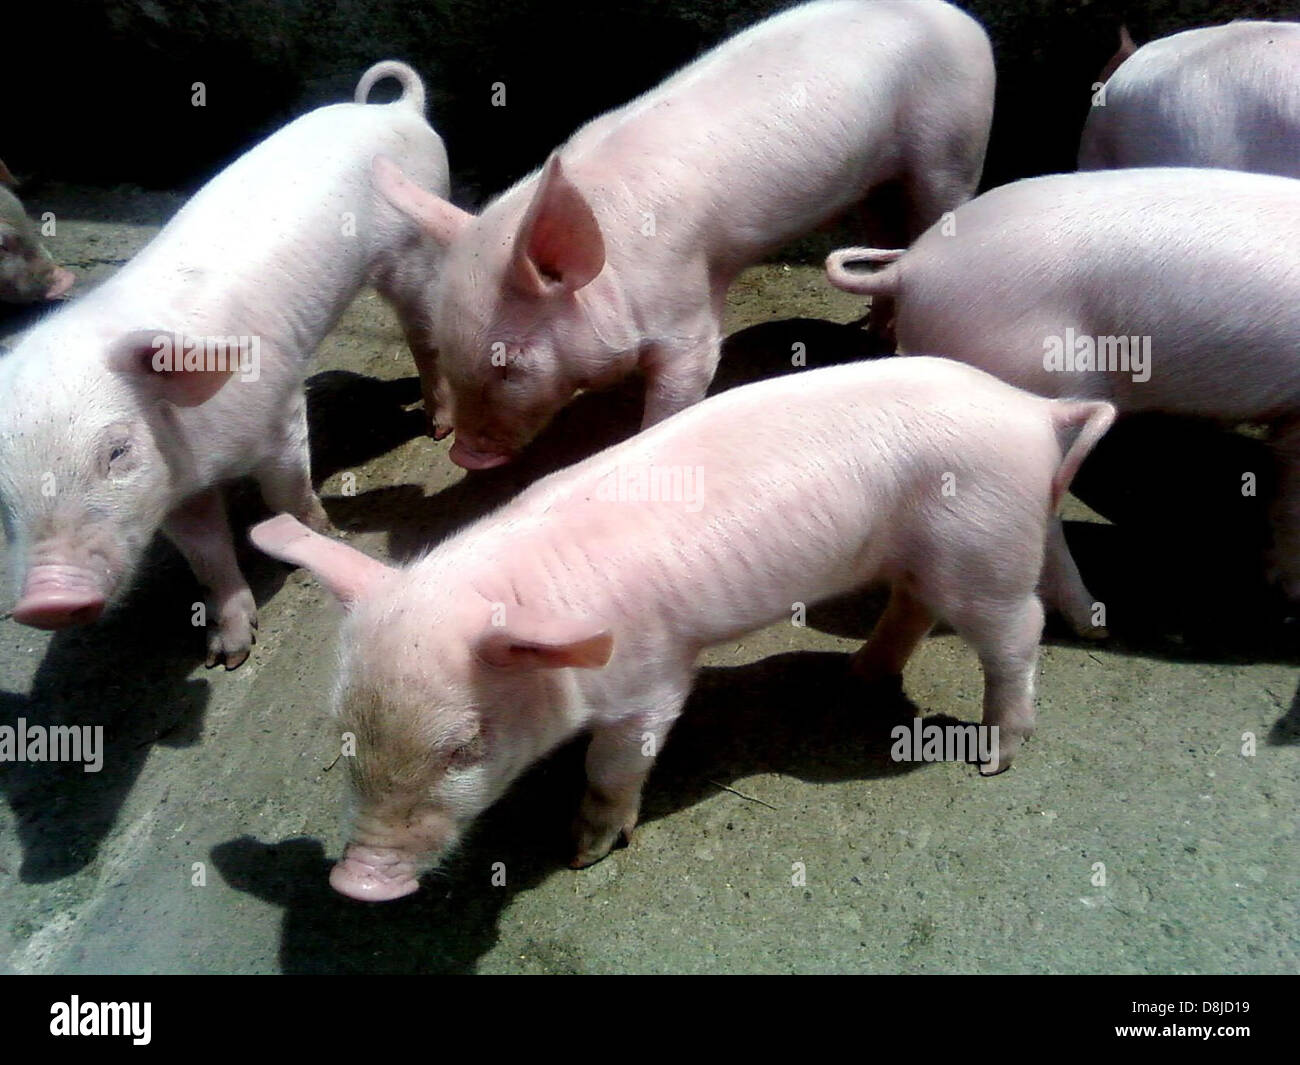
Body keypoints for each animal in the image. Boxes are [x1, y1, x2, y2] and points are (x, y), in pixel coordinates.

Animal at [250, 356, 1114, 900]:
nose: (357, 879)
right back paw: (858, 675)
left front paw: (580, 853)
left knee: (1018, 630)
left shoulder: (652, 678)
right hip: (931, 554)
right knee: (913, 604)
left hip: (985, 550)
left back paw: (994, 757)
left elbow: (613, 764)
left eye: (464, 747)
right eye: (343, 736)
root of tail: (1035, 412)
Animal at [374, 0, 995, 469]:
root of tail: (957, 15)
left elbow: (685, 381)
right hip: (874, 183)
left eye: (510, 364)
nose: (463, 456)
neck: (614, 268)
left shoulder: (688, 308)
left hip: (955, 147)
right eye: (448, 345)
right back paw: (872, 333)